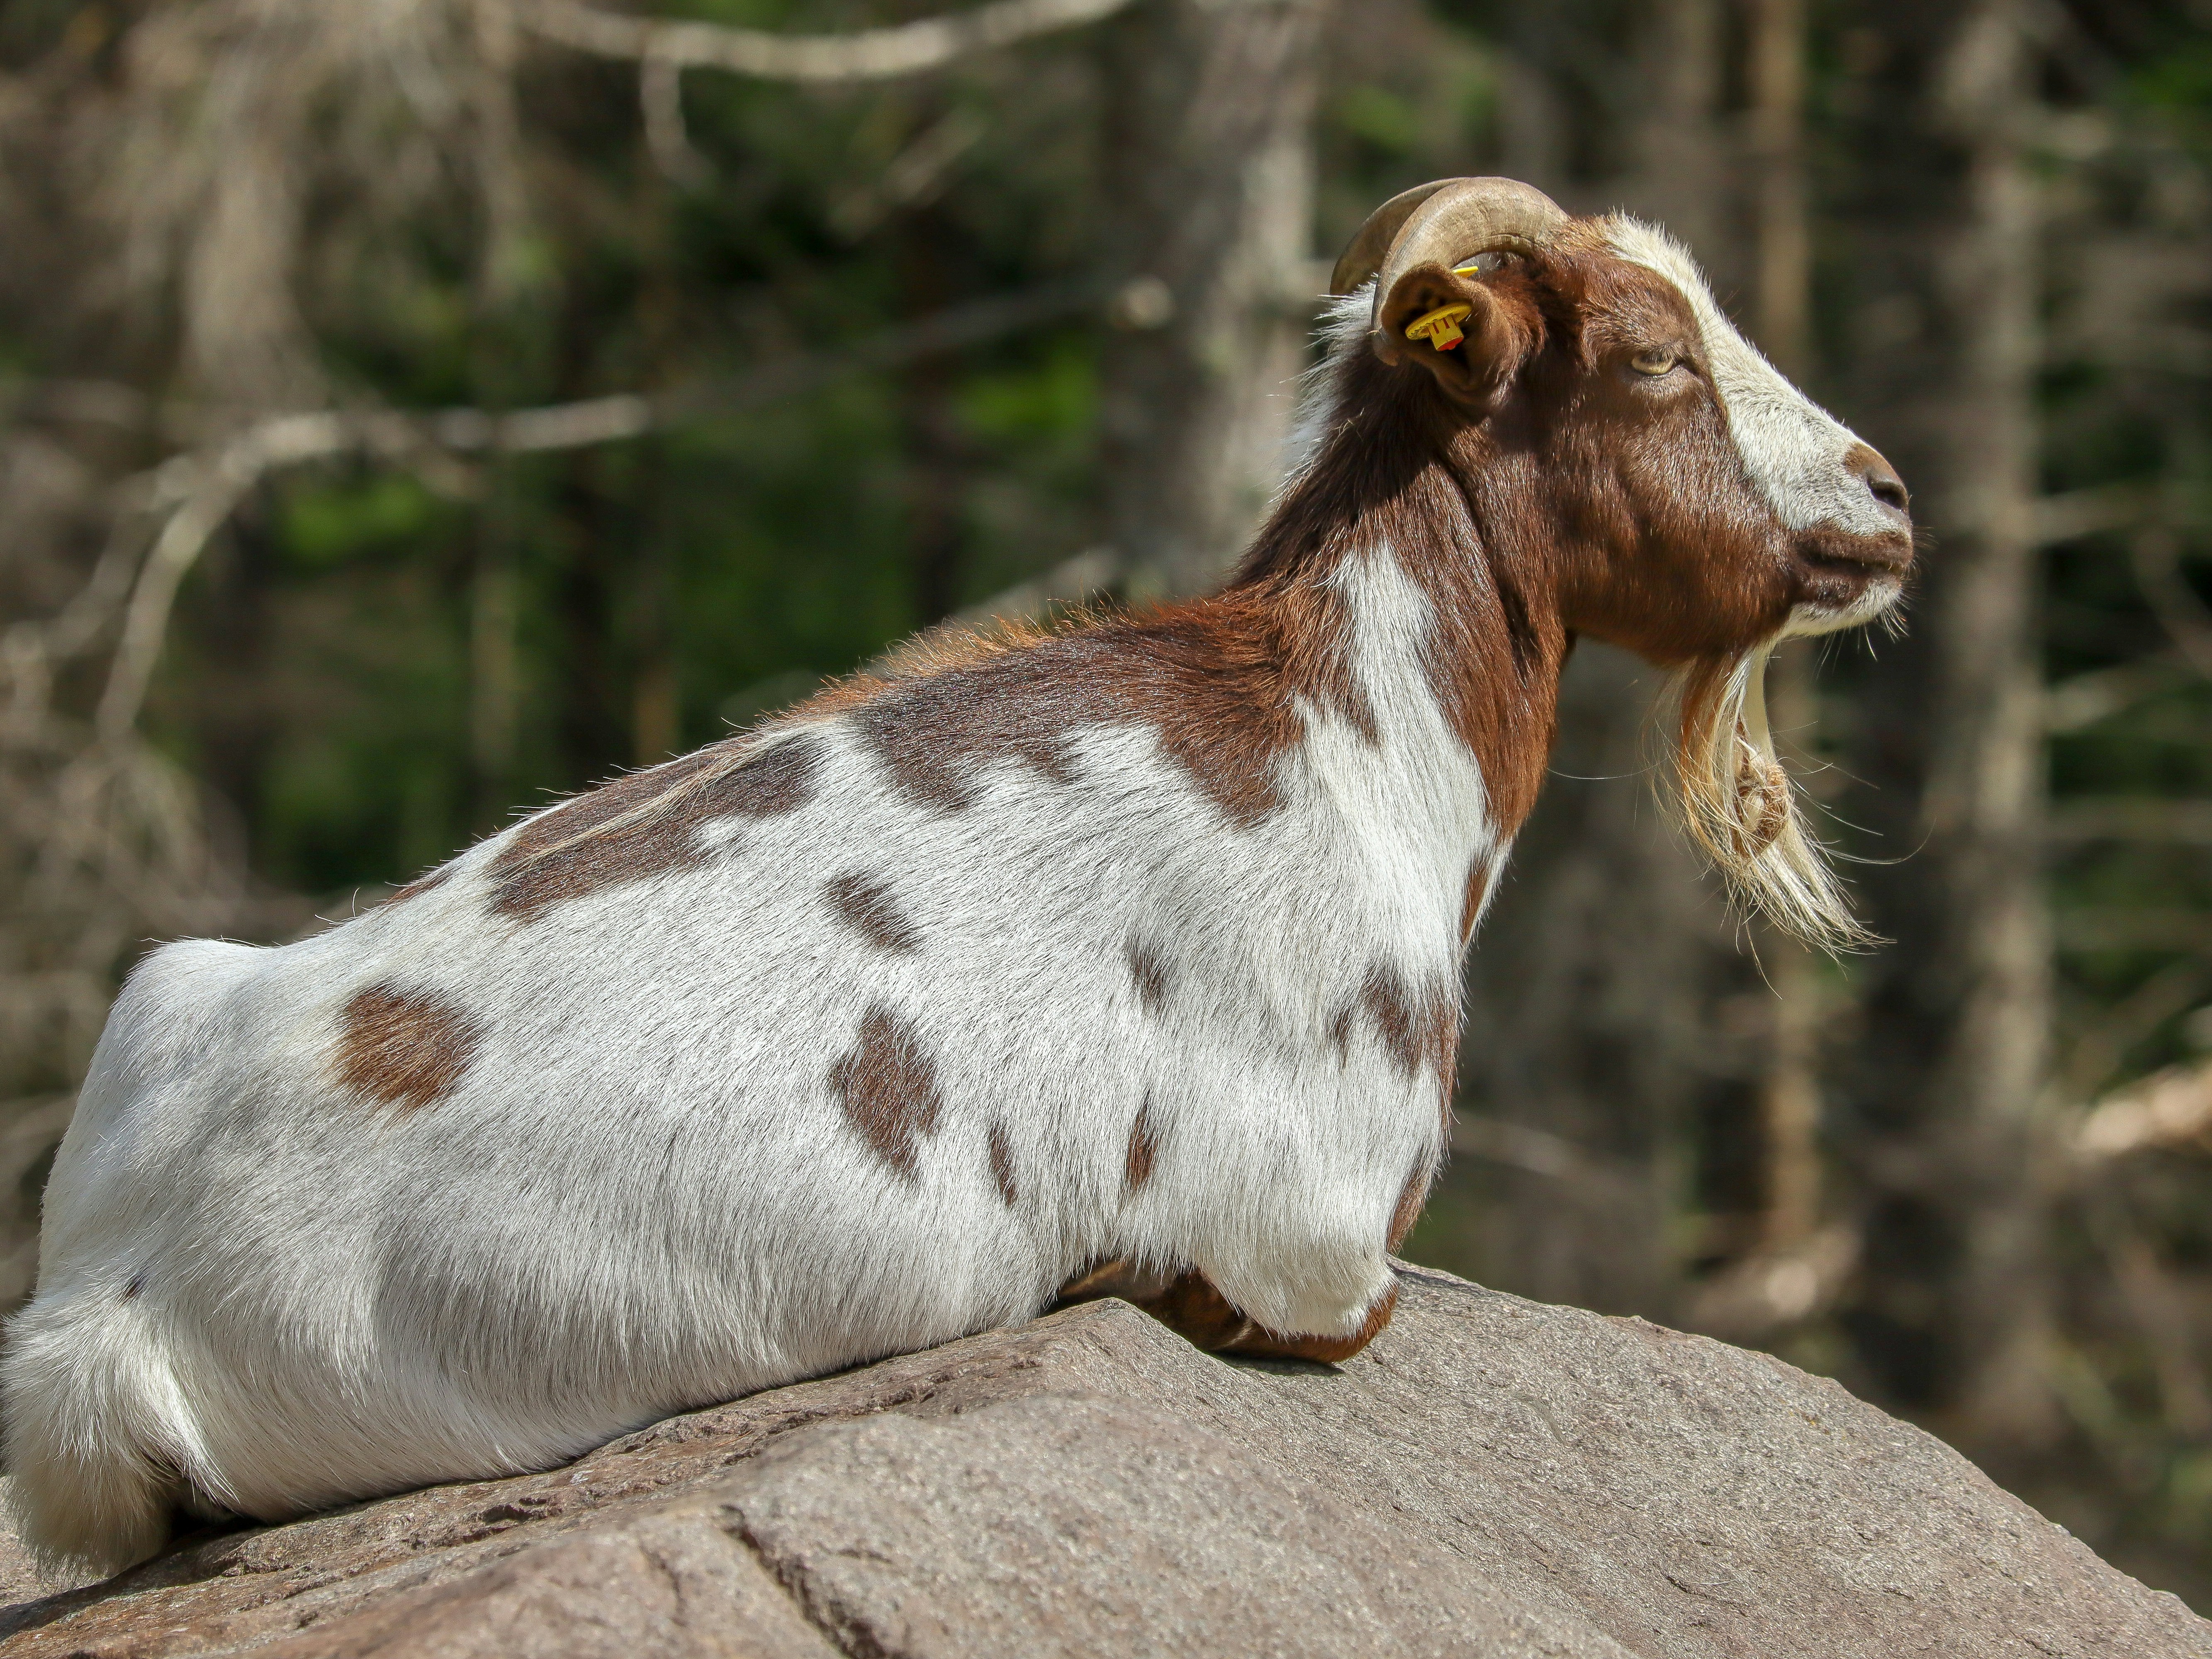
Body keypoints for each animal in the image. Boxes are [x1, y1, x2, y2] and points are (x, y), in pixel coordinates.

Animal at [5, 178, 1914, 1577]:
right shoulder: (1308, 1228)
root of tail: (103, 1308)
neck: (1342, 722)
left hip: (166, 976)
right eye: (1654, 357)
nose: (1889, 495)